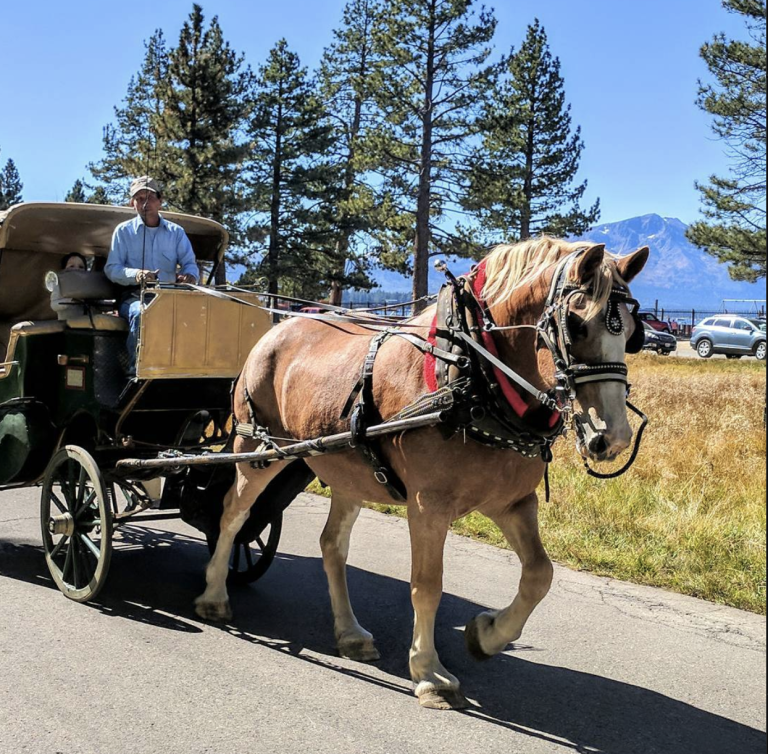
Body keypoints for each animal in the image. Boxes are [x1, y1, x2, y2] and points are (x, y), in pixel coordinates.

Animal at [195, 237, 650, 710]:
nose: (613, 437)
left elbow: (539, 575)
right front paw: (429, 672)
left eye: (632, 333)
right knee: (233, 515)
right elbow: (427, 585)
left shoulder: (512, 503)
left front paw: (487, 635)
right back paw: (213, 595)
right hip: (259, 449)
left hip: (348, 470)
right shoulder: (428, 506)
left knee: (332, 545)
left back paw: (350, 632)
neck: (473, 373)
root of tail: (278, 326)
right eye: (577, 326)